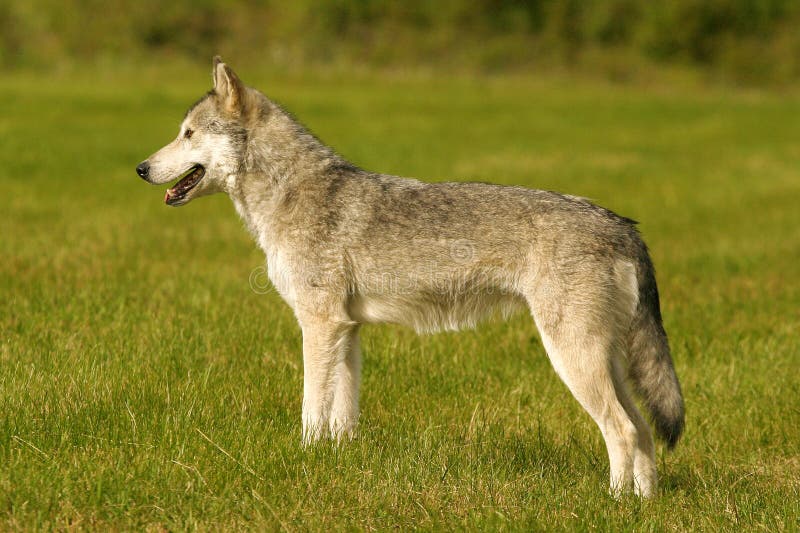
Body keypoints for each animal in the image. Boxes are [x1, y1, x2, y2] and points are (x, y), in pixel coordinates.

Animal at [136, 57, 684, 497]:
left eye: (188, 134)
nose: (140, 167)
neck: (289, 193)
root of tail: (622, 225)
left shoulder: (320, 326)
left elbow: (312, 411)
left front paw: (305, 458)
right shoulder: (348, 330)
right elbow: (343, 416)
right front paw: (338, 462)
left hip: (573, 358)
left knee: (623, 430)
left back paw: (614, 503)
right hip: (604, 361)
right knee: (644, 431)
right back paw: (643, 504)